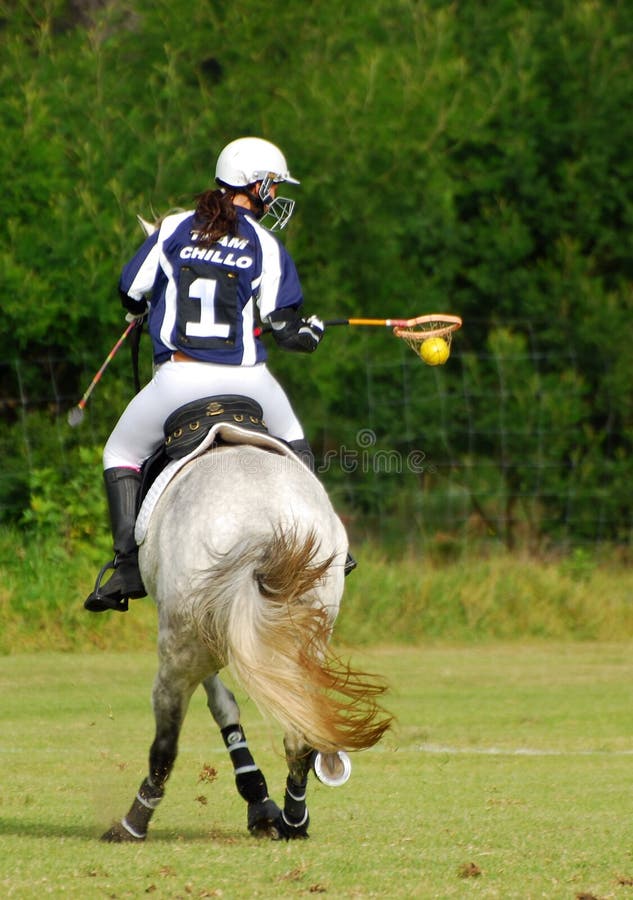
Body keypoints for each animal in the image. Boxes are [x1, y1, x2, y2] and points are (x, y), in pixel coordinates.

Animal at [100, 405, 392, 842]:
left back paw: (133, 823)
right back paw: (293, 820)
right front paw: (262, 804)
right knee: (298, 730)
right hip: (304, 634)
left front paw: (256, 798)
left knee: (166, 743)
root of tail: (263, 520)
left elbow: (222, 705)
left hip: (183, 644)